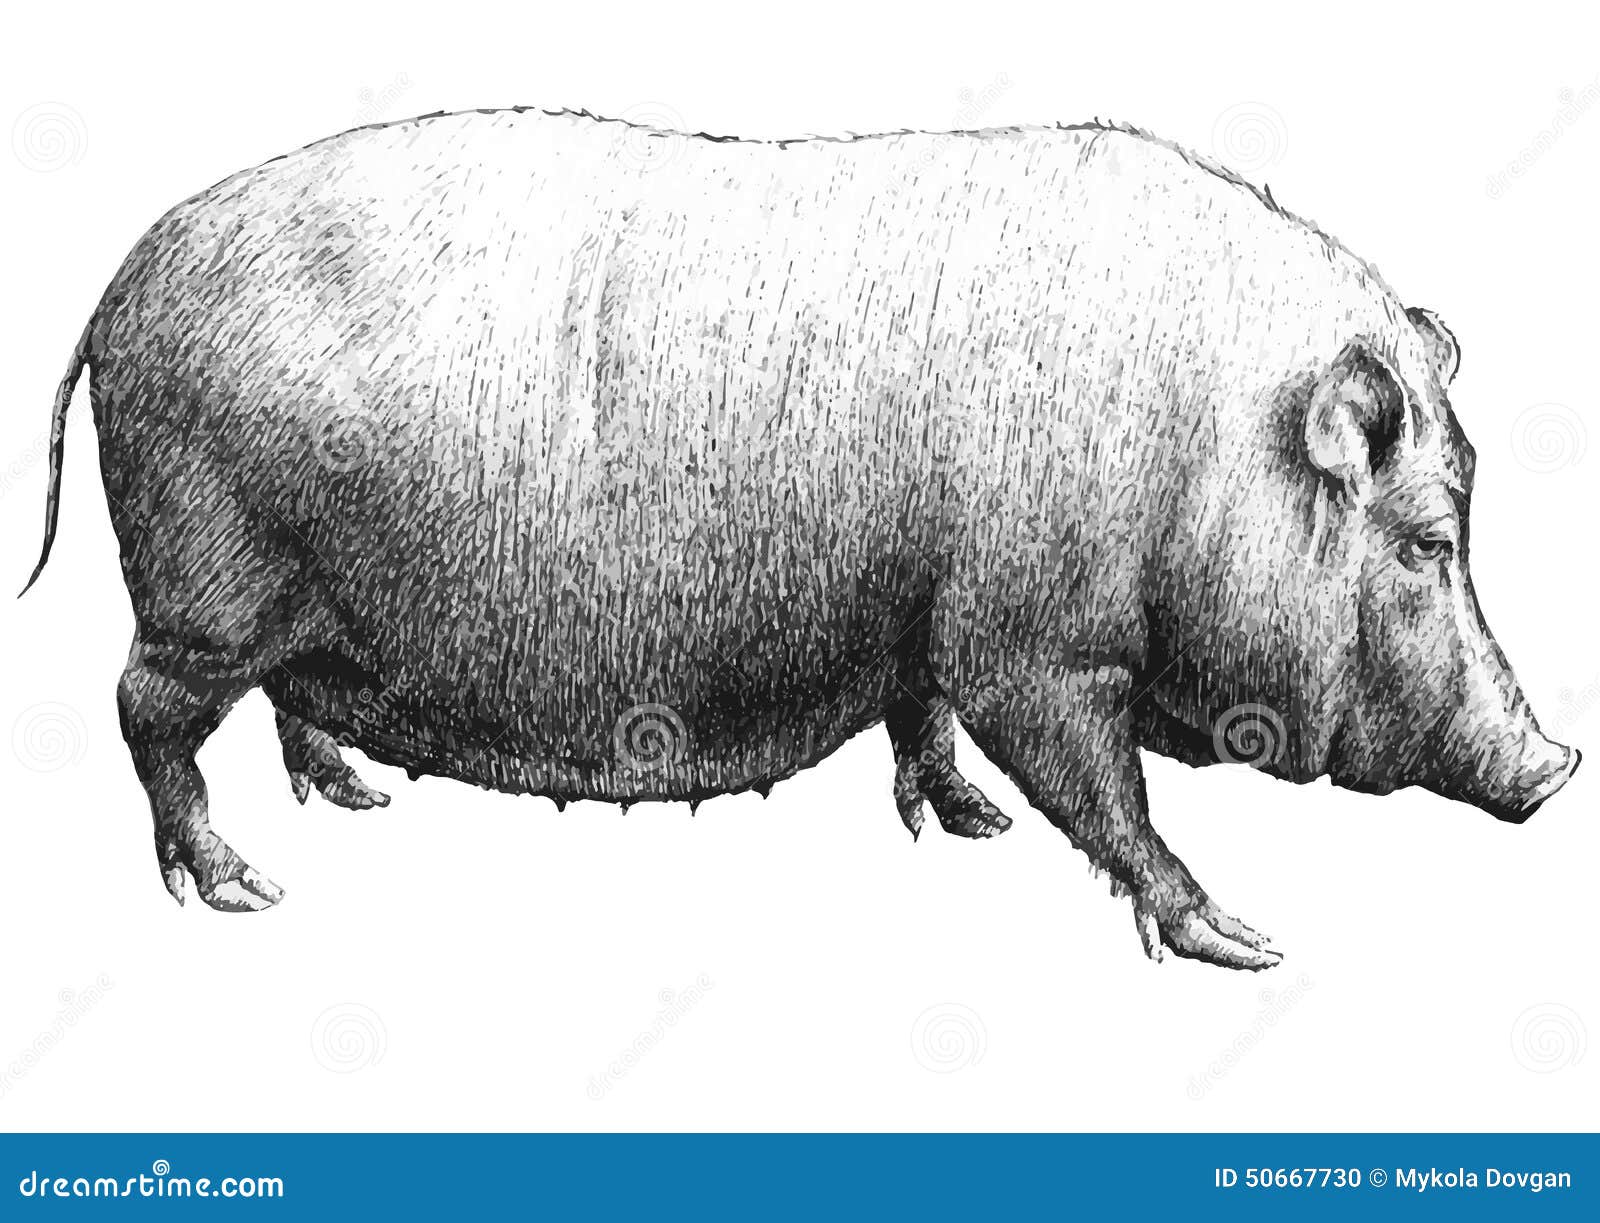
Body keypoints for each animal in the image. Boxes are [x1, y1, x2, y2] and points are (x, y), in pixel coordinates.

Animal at [22, 109, 1579, 969]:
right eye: (1425, 541)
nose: (1559, 762)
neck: (1201, 451)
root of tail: (118, 283)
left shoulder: (925, 622)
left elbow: (925, 719)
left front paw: (968, 824)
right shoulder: (1035, 641)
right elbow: (1104, 794)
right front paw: (1243, 943)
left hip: (289, 609)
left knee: (280, 700)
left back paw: (351, 797)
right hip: (202, 589)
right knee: (143, 707)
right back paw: (242, 888)